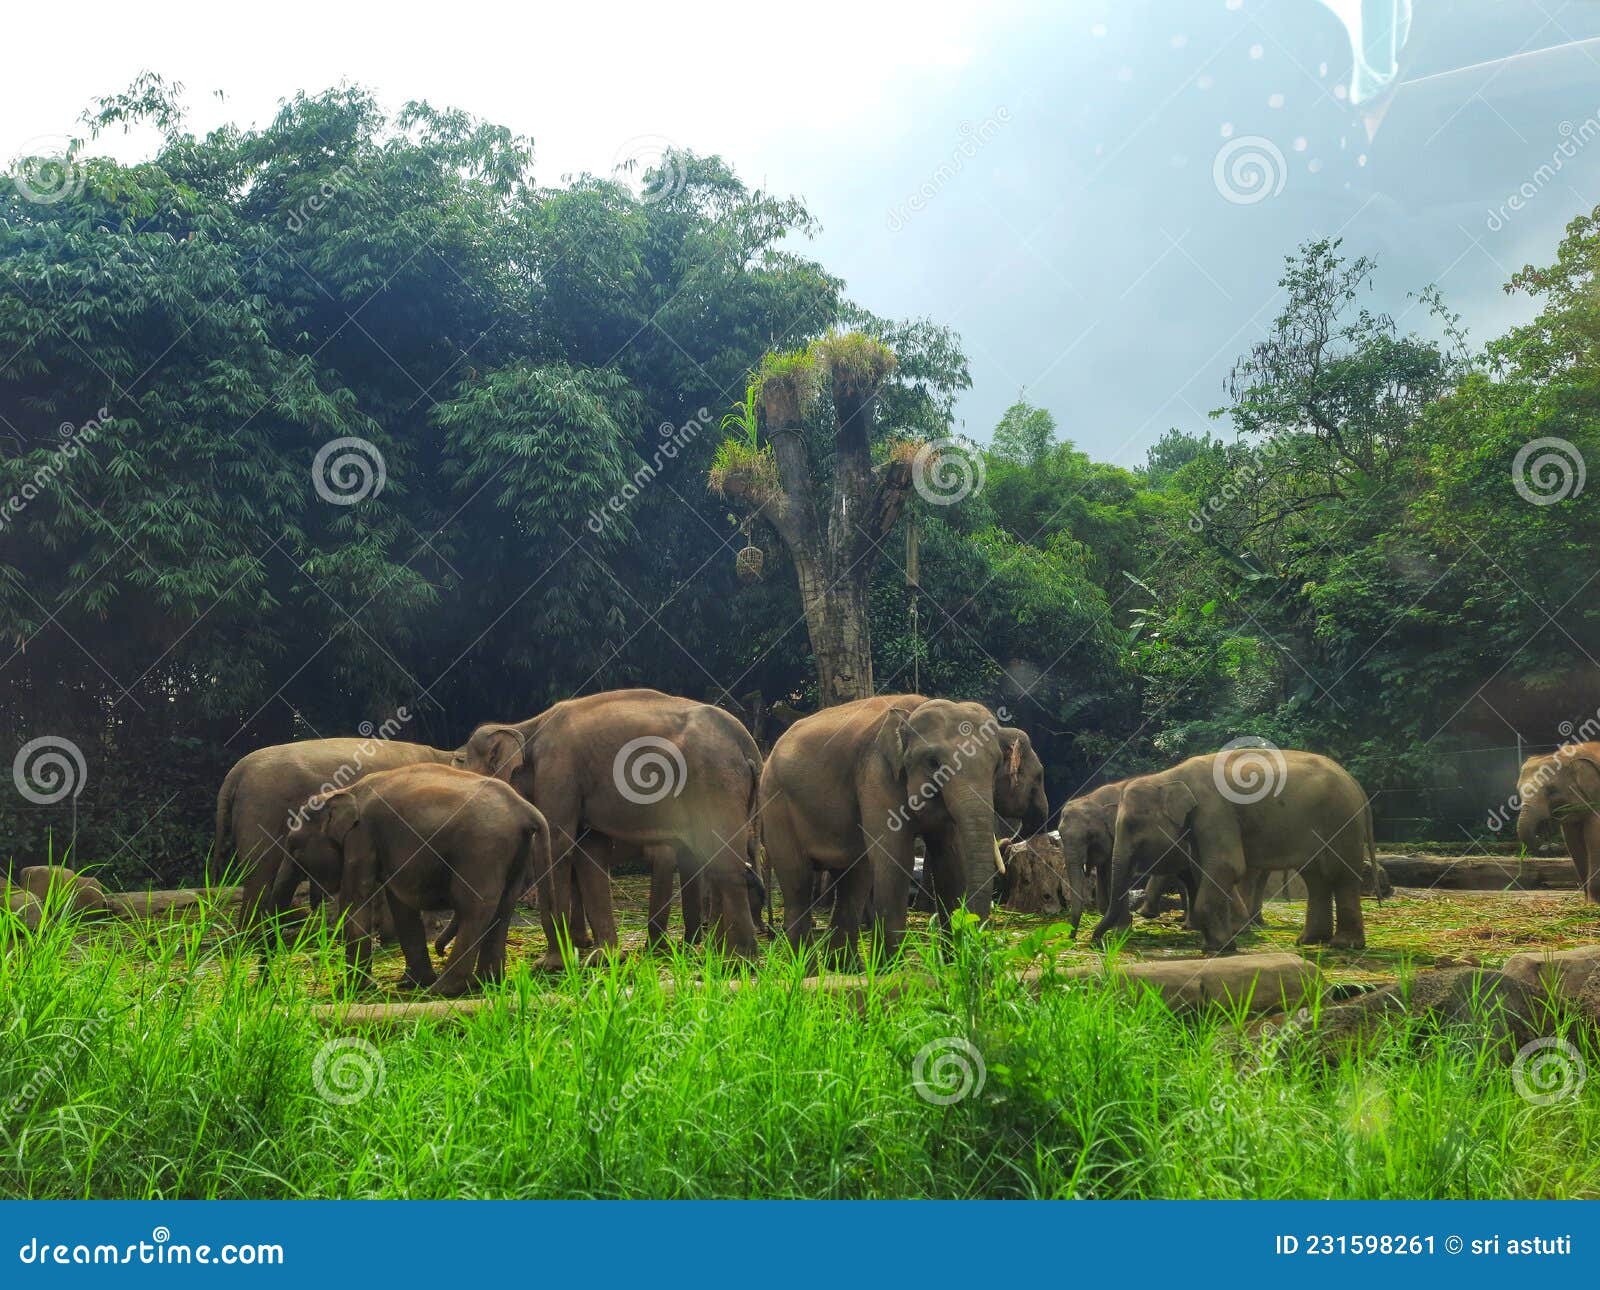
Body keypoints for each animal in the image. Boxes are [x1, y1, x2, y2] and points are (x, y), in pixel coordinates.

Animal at [292, 764, 550, 996]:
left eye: (296, 850)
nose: (440, 951)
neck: (346, 791)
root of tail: (526, 809)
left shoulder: (362, 836)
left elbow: (356, 899)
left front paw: (350, 990)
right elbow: (399, 904)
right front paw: (410, 983)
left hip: (482, 848)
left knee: (473, 907)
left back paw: (444, 990)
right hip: (514, 850)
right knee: (503, 907)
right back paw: (488, 984)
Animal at [461, 689, 764, 965]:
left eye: (466, 767)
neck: (526, 726)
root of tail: (748, 745)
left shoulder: (557, 771)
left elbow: (558, 845)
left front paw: (550, 965)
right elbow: (589, 852)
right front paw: (603, 958)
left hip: (714, 778)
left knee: (726, 864)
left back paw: (737, 960)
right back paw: (716, 954)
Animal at [761, 696, 1050, 965]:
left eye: (996, 765)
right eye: (933, 763)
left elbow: (950, 862)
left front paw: (954, 963)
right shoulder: (877, 775)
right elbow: (896, 858)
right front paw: (890, 970)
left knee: (854, 879)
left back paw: (845, 969)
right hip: (775, 804)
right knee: (798, 882)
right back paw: (809, 970)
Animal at [1092, 749, 1372, 952]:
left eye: (1132, 824)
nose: (1095, 941)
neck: (1169, 776)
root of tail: (1355, 782)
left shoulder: (1214, 810)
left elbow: (1226, 865)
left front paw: (1218, 948)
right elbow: (1203, 868)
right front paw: (1219, 944)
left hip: (1342, 820)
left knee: (1342, 874)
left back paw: (1344, 945)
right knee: (1316, 878)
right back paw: (1309, 941)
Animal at [1515, 743, 1600, 902]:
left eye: (1551, 790)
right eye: (1519, 791)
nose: (1546, 844)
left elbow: (1594, 839)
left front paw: (1594, 903)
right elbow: (1573, 843)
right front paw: (1587, 903)